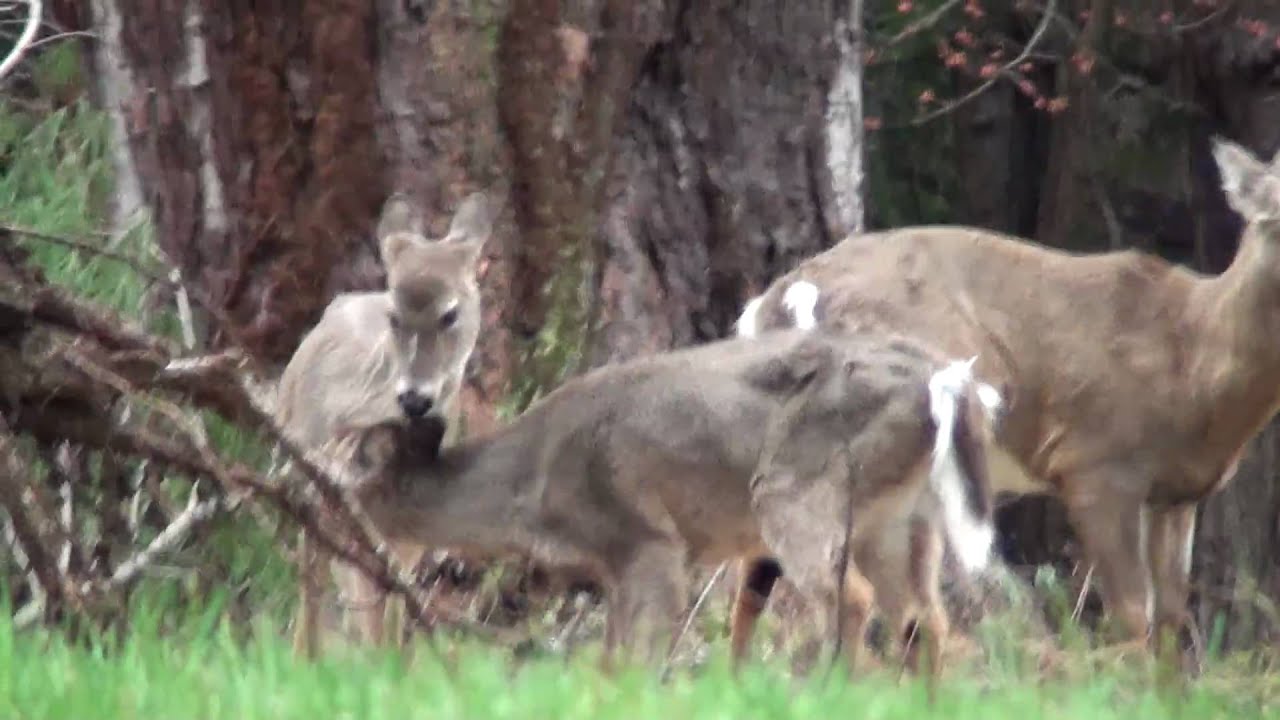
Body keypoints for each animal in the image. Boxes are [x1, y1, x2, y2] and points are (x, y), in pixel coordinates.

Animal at [275, 190, 497, 658]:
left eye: (450, 314)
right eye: (394, 315)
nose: (414, 398)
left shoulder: (414, 526)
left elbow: (395, 599)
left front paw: (393, 662)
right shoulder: (325, 491)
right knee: (317, 583)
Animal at [334, 328, 1001, 680]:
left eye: (356, 471)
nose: (332, 520)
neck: (531, 487)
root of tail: (939, 380)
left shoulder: (647, 540)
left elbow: (638, 654)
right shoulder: (616, 567)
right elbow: (612, 656)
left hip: (796, 488)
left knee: (852, 598)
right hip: (900, 517)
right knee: (925, 620)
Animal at [732, 136, 1280, 661]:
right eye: (1272, 214)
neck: (1193, 367)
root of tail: (782, 296)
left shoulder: (1177, 495)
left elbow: (1171, 619)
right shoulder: (1095, 463)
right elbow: (1131, 617)